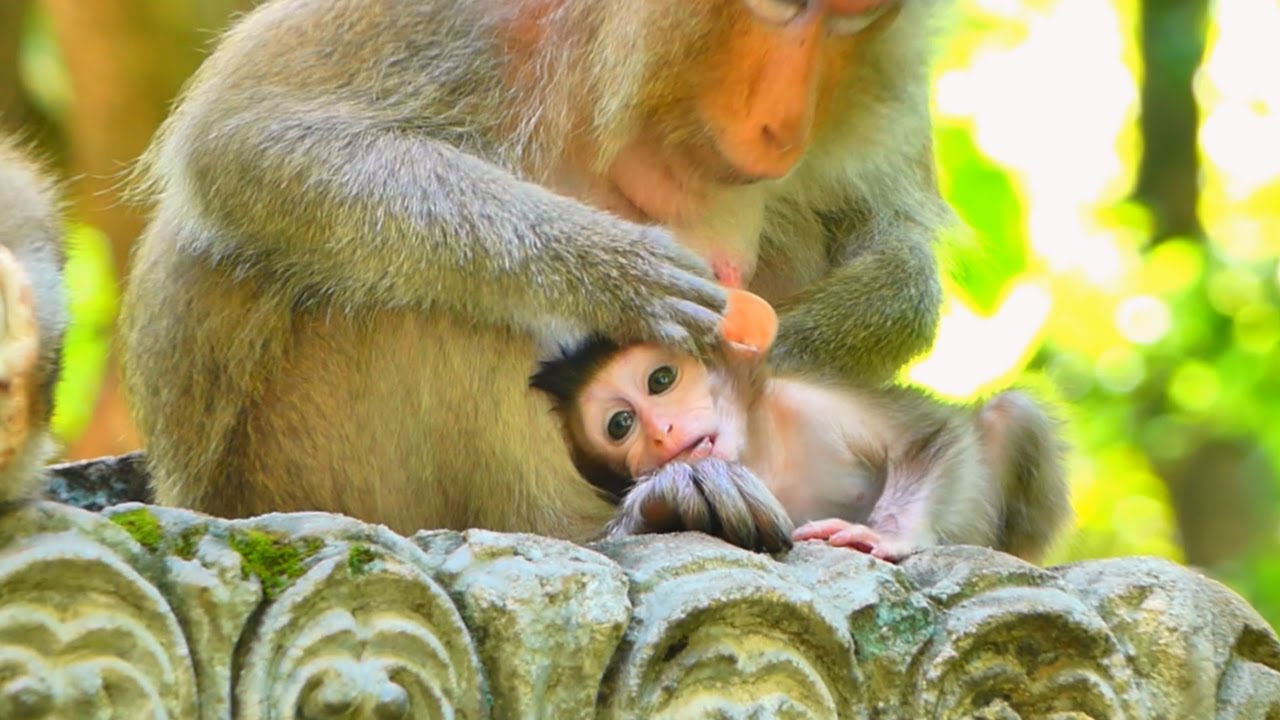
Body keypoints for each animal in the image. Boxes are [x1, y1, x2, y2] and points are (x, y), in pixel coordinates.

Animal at [121, 0, 950, 548]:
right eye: (778, 7)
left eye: (852, 21)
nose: (782, 125)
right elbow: (250, 135)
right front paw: (615, 271)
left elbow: (894, 237)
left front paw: (791, 352)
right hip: (296, 464)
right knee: (429, 303)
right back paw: (620, 519)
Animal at [531, 290, 1072, 562]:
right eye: (620, 424)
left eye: (661, 379)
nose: (660, 431)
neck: (763, 452)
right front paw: (674, 492)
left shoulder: (816, 403)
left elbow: (929, 436)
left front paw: (886, 537)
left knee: (1011, 415)